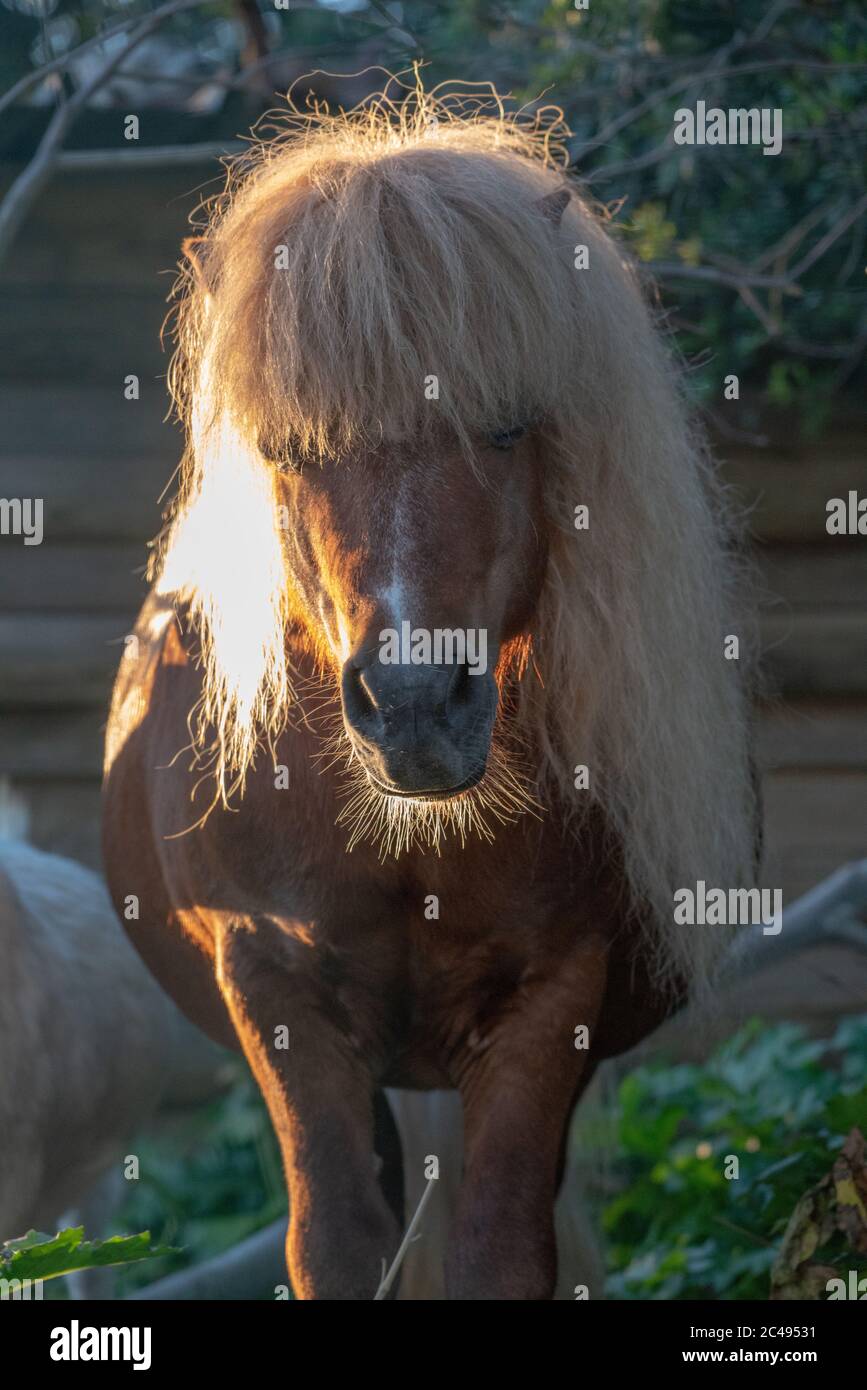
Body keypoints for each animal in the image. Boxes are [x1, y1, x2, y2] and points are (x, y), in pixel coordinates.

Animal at [102, 90, 758, 1300]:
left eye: (505, 425)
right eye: (287, 446)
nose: (413, 703)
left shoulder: (554, 997)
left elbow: (501, 1248)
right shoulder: (271, 981)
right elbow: (337, 1245)